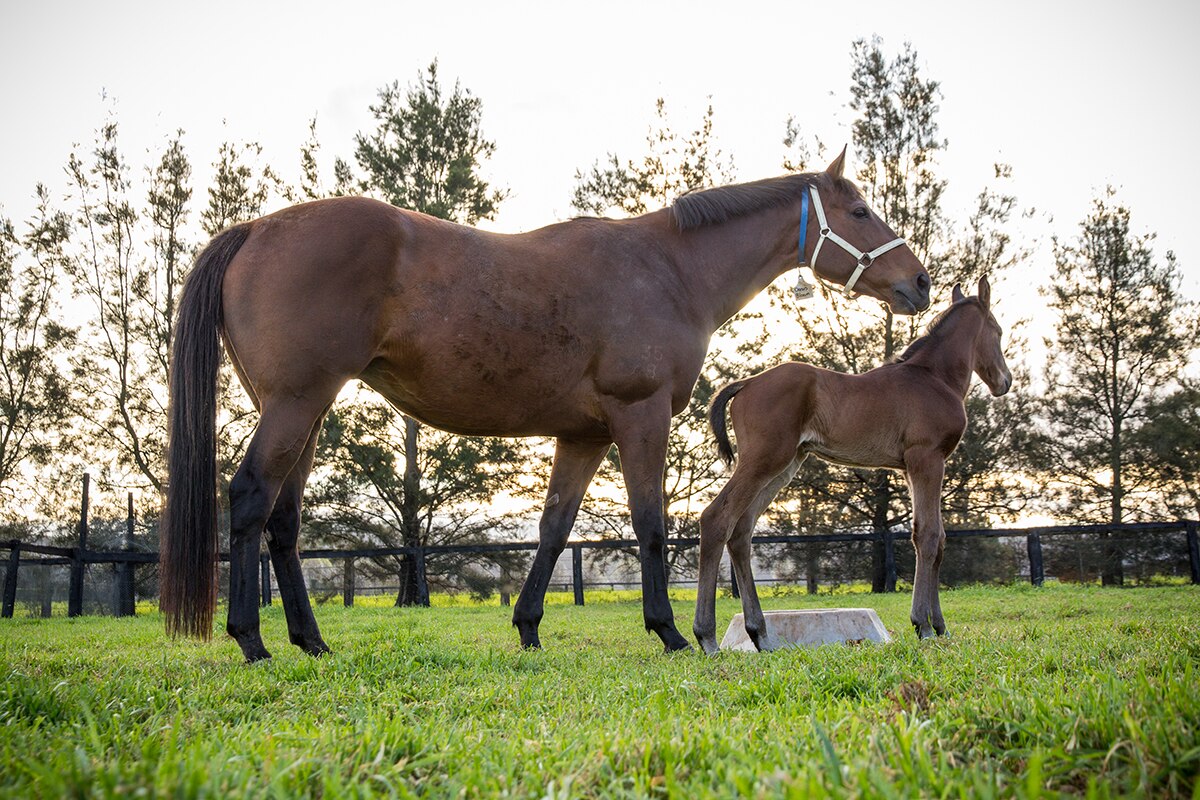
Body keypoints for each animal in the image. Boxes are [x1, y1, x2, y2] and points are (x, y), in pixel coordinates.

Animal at [160, 149, 931, 662]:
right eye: (859, 211)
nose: (919, 282)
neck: (668, 269)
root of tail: (256, 229)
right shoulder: (640, 416)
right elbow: (651, 525)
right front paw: (669, 631)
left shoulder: (583, 436)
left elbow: (555, 530)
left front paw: (529, 626)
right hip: (295, 406)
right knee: (250, 498)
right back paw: (252, 642)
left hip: (303, 414)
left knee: (283, 522)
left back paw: (310, 641)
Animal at [693, 277, 1010, 654]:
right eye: (998, 331)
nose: (1005, 382)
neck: (933, 377)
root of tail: (747, 383)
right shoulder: (927, 459)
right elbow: (928, 536)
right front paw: (923, 625)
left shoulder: (910, 467)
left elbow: (940, 539)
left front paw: (941, 626)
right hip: (763, 459)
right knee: (717, 519)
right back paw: (707, 637)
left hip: (783, 467)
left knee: (741, 531)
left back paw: (761, 635)